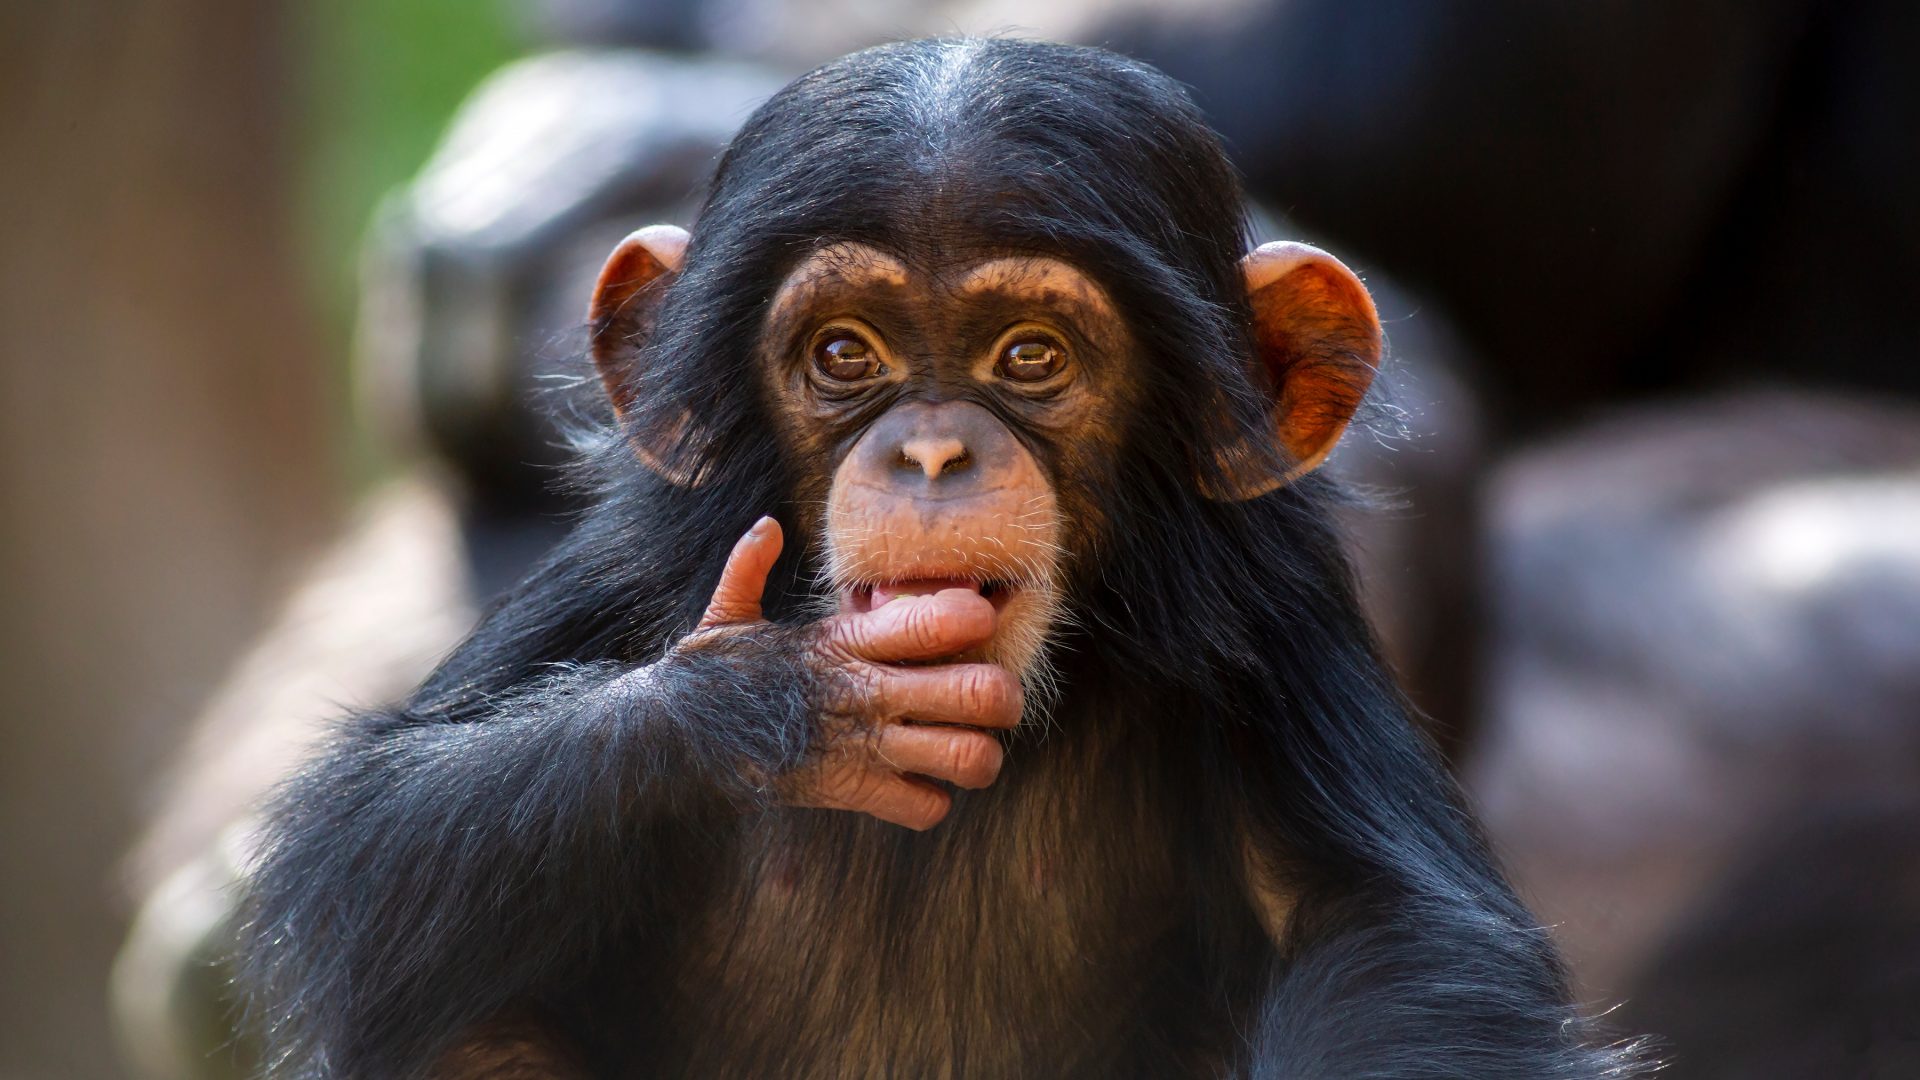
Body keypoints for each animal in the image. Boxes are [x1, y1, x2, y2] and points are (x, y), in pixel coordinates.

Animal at [239, 38, 1643, 1078]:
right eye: (843, 353)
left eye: (1030, 356)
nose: (928, 451)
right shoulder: (627, 570)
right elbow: (365, 834)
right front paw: (795, 698)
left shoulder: (1277, 623)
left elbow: (1389, 927)